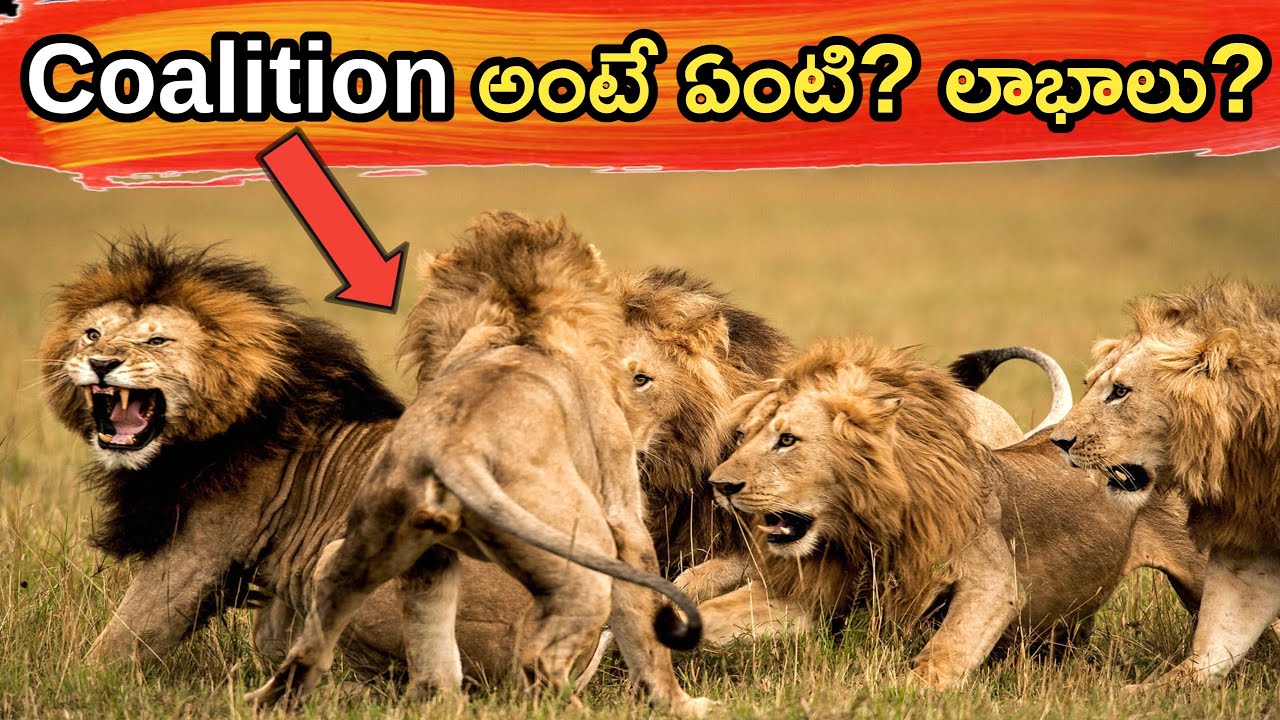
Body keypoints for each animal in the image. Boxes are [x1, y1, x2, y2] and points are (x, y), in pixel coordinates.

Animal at [246, 213, 712, 716]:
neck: (520, 321)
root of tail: (456, 448)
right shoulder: (624, 516)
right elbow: (645, 625)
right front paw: (679, 704)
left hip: (369, 545)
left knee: (337, 624)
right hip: (583, 560)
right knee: (540, 660)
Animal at [696, 338, 1207, 688]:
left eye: (787, 439)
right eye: (742, 435)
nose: (719, 485)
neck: (862, 530)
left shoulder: (991, 581)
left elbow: (944, 651)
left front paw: (897, 690)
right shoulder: (813, 593)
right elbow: (714, 613)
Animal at [1051, 280, 1280, 687]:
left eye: (1120, 391)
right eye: (1089, 384)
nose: (1058, 442)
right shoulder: (1248, 546)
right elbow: (1217, 639)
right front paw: (1148, 691)